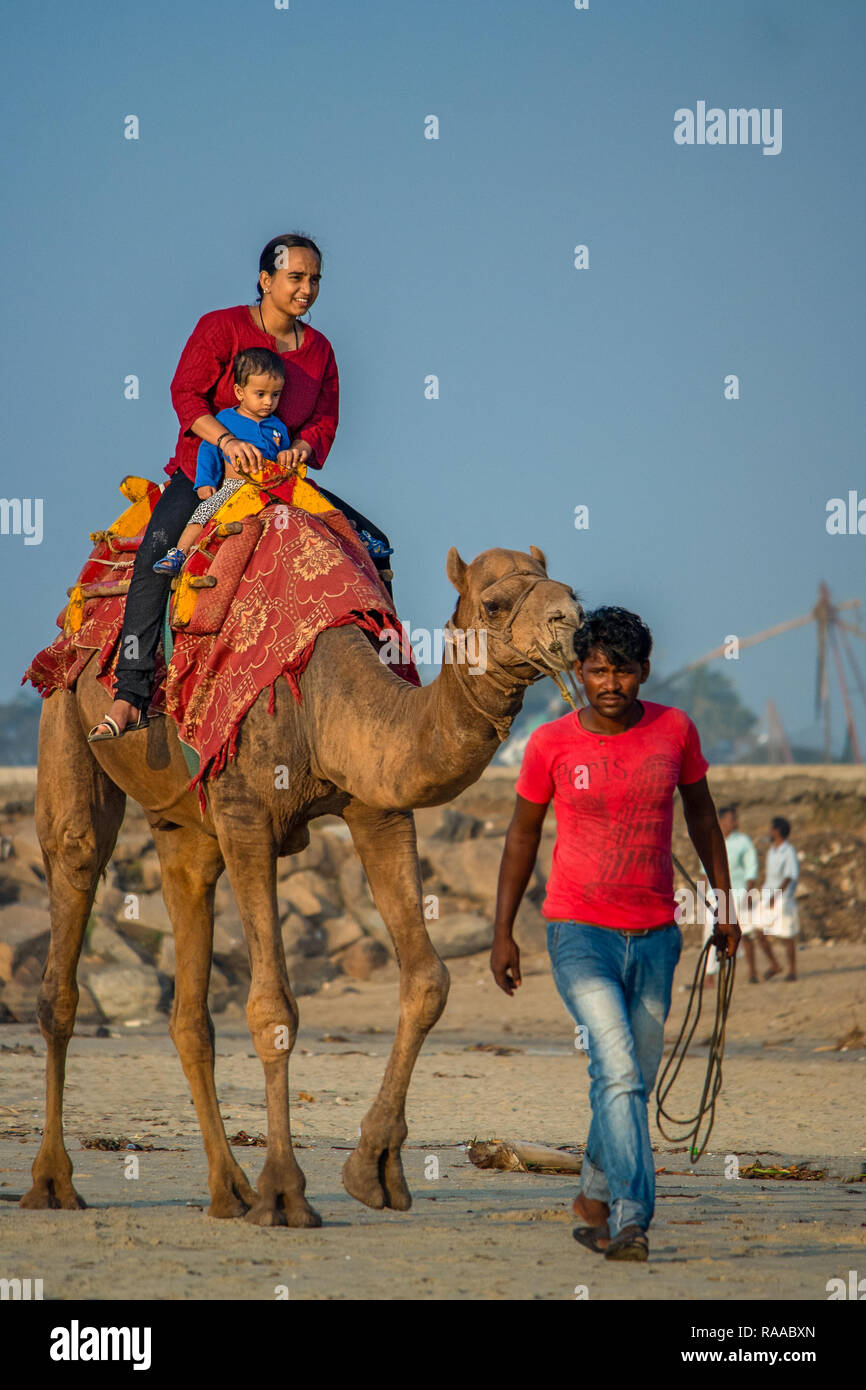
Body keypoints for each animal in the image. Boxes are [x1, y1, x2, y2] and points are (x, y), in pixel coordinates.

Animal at [21, 543, 582, 1227]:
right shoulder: (245, 813)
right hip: (66, 711)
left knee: (189, 990)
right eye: (495, 603)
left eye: (571, 591)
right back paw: (54, 1183)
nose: (572, 623)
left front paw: (374, 1168)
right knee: (72, 872)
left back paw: (227, 1191)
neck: (321, 698)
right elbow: (273, 1009)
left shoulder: (377, 807)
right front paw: (285, 1194)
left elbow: (428, 980)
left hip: (182, 819)